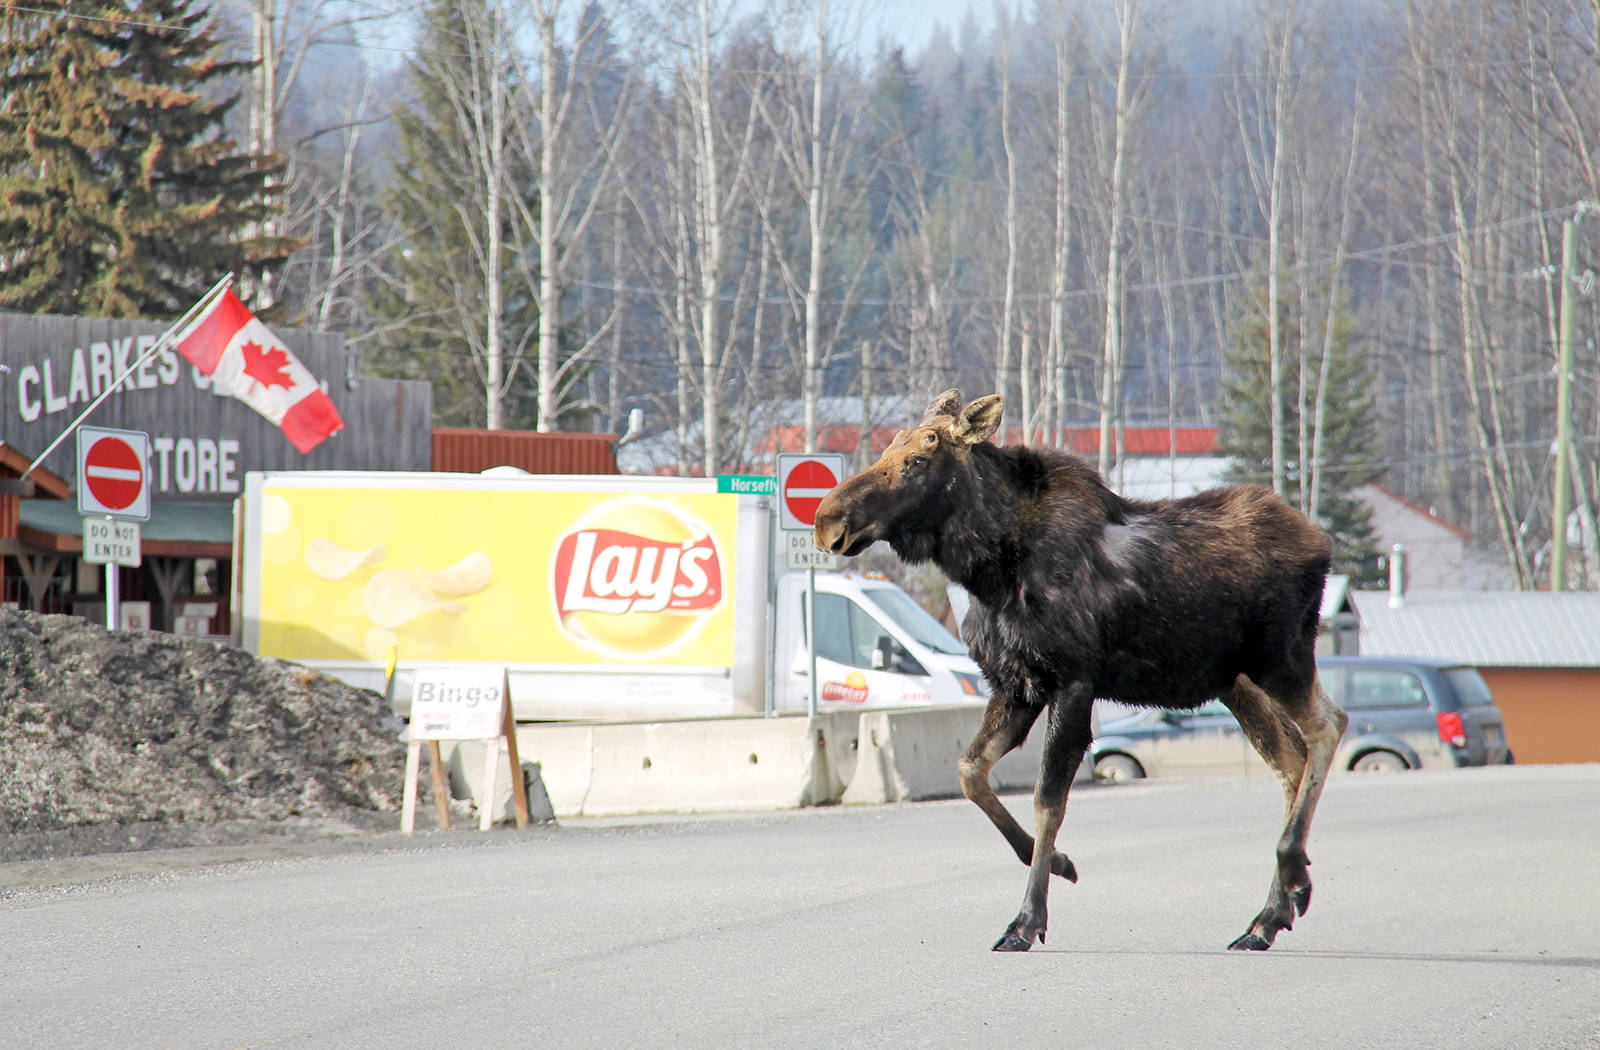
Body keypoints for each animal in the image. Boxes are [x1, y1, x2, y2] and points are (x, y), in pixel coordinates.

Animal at [813, 389, 1348, 952]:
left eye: (920, 457)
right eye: (890, 444)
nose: (828, 520)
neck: (988, 570)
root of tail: (1322, 544)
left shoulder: (1071, 682)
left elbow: (1048, 799)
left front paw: (1026, 920)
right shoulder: (1016, 685)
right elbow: (969, 770)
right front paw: (1061, 863)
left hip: (1282, 657)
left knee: (1327, 727)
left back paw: (1292, 873)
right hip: (1239, 685)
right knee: (1290, 759)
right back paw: (1272, 912)